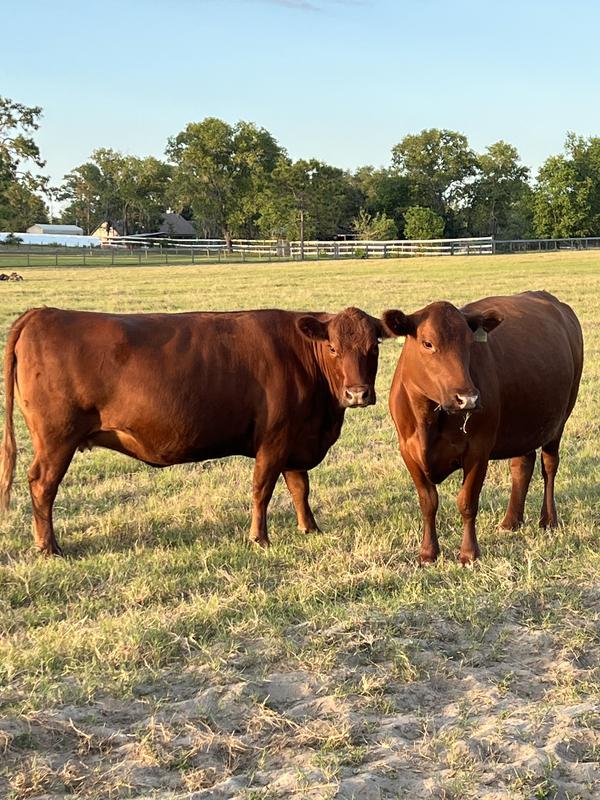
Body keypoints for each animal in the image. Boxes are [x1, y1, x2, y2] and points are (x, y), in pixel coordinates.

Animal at [0, 305, 395, 556]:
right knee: (42, 485)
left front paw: (310, 528)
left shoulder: (295, 439)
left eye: (372, 347)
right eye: (333, 347)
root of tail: (44, 312)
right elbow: (262, 490)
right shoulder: (274, 439)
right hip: (56, 439)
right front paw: (259, 538)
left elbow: (300, 488)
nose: (357, 393)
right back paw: (48, 547)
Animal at [383, 291, 583, 564]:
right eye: (427, 343)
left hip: (559, 420)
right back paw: (511, 521)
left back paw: (548, 519)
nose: (468, 399)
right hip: (523, 425)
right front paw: (428, 552)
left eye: (470, 344)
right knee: (522, 465)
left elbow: (467, 502)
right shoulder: (408, 451)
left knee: (549, 466)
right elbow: (428, 502)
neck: (428, 420)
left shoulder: (478, 451)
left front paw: (469, 553)